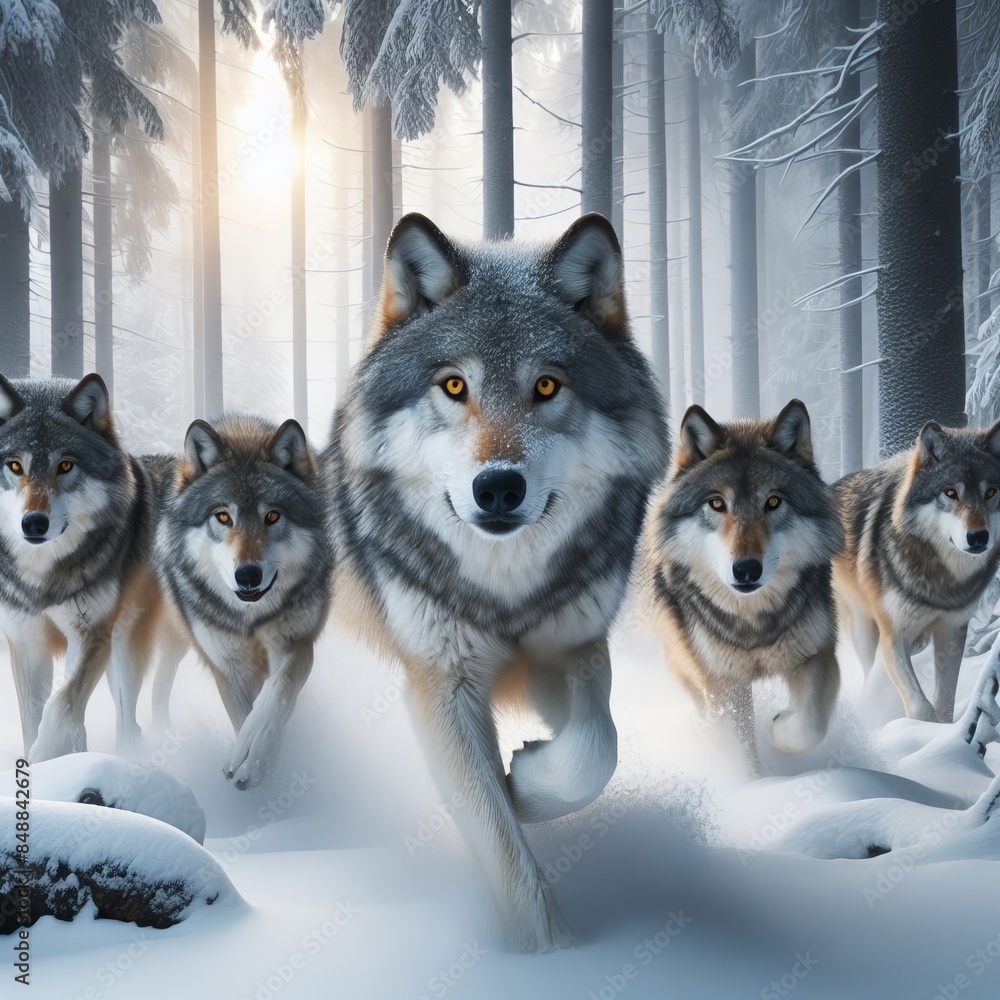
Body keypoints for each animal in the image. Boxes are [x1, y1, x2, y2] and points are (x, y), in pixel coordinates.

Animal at [0, 373, 168, 759]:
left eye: (65, 465)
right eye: (15, 466)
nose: (33, 523)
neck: (43, 579)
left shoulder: (91, 635)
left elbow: (61, 708)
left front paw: (49, 758)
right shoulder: (26, 644)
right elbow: (34, 718)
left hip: (123, 653)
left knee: (129, 723)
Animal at [154, 415, 332, 788]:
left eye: (273, 516)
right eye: (223, 517)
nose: (248, 575)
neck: (251, 617)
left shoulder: (298, 643)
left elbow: (276, 696)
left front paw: (258, 757)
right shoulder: (227, 665)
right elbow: (242, 714)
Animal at [323, 213, 669, 952]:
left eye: (547, 387)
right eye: (454, 386)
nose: (499, 487)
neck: (504, 590)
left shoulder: (574, 646)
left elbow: (597, 746)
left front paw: (529, 784)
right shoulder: (440, 684)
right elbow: (500, 840)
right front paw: (547, 955)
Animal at [640, 400, 844, 771]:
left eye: (773, 502)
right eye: (717, 503)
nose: (746, 569)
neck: (753, 625)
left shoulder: (817, 654)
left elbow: (810, 724)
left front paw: (778, 730)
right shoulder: (723, 683)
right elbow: (742, 750)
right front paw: (752, 782)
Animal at [834, 421, 1000, 723]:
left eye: (991, 492)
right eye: (950, 493)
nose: (978, 537)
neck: (942, 582)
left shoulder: (952, 631)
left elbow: (945, 701)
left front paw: (941, 730)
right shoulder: (894, 634)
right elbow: (922, 707)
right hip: (861, 628)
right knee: (867, 667)